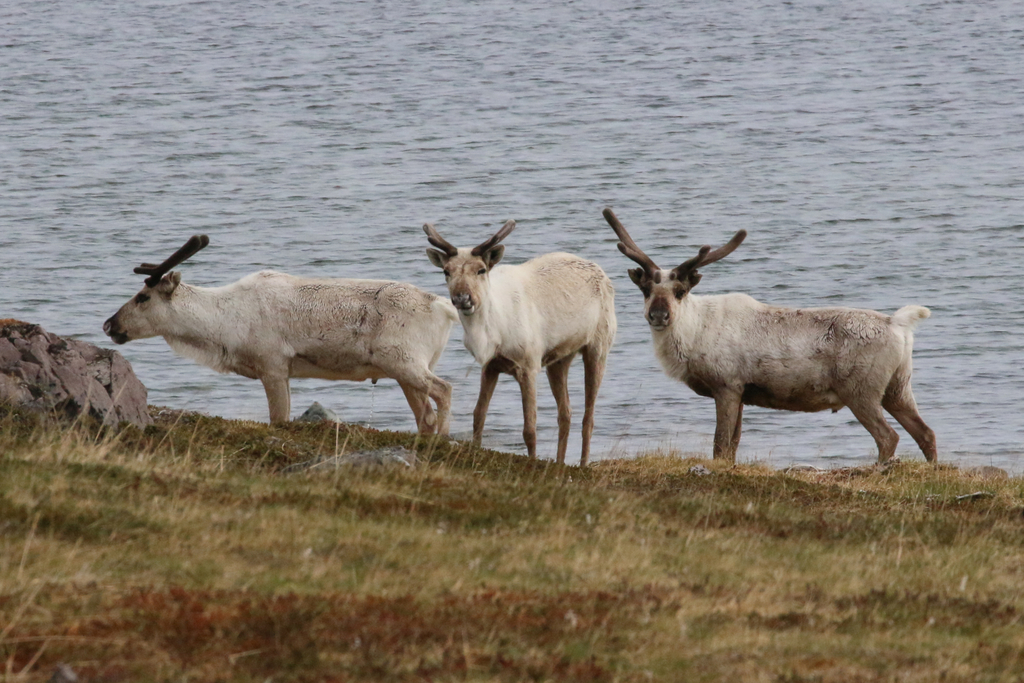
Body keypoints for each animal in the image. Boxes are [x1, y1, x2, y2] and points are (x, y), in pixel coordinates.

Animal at [103, 235, 458, 433]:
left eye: (143, 297)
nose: (109, 325)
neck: (225, 323)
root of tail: (444, 307)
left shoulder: (272, 364)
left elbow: (278, 419)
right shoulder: (284, 371)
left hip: (404, 360)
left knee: (444, 390)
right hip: (406, 369)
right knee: (424, 414)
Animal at [423, 220, 617, 465]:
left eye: (481, 269)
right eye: (446, 271)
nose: (462, 298)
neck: (492, 333)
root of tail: (602, 273)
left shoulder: (529, 364)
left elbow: (530, 428)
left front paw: (532, 463)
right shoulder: (490, 366)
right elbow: (478, 415)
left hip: (599, 346)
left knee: (588, 416)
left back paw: (582, 465)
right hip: (559, 359)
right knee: (565, 412)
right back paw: (560, 463)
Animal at [602, 207, 937, 464]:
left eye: (680, 291)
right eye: (646, 289)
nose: (659, 315)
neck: (694, 335)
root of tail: (898, 324)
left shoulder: (727, 384)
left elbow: (720, 444)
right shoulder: (741, 392)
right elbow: (733, 445)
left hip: (861, 390)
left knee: (888, 436)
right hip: (898, 386)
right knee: (926, 433)